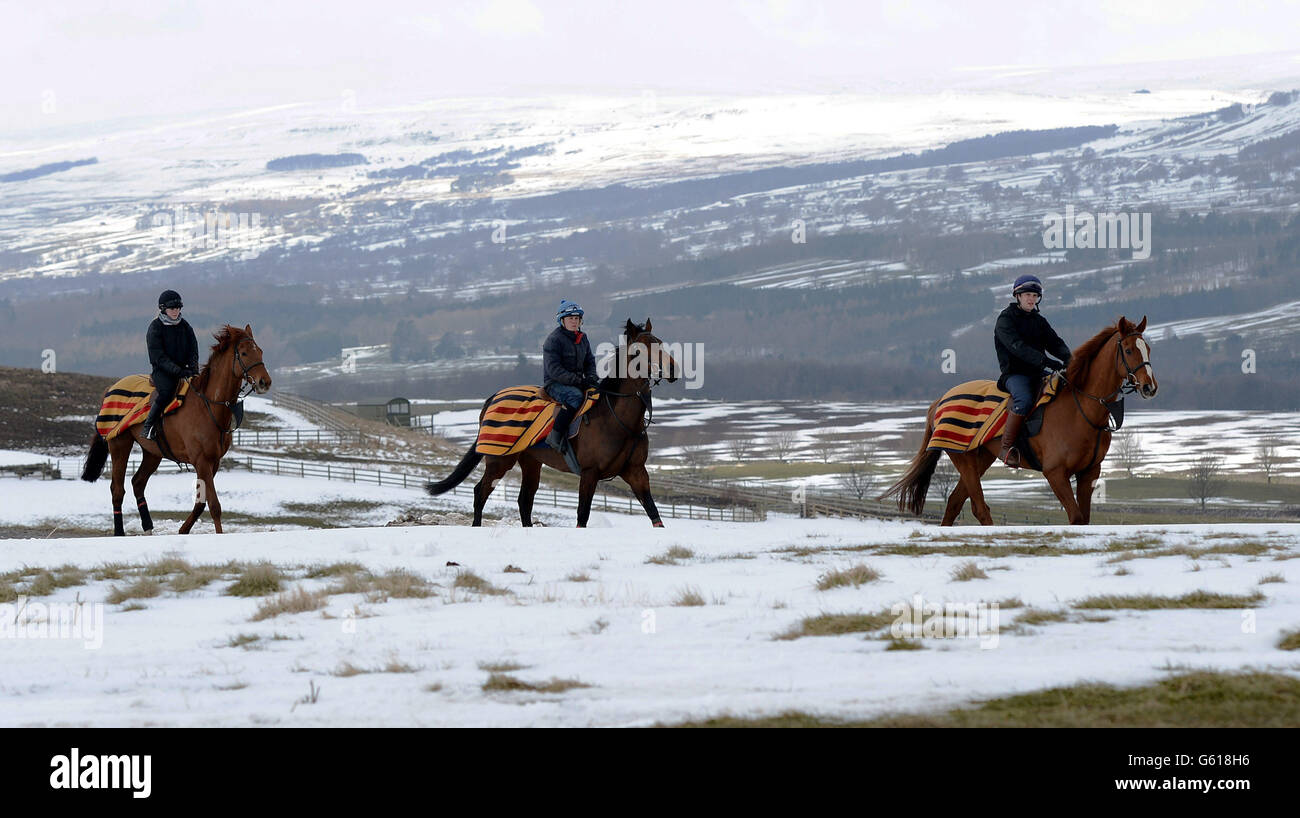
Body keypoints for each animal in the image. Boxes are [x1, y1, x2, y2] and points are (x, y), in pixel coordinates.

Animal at [80, 324, 271, 535]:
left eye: (260, 351)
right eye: (244, 353)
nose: (265, 382)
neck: (207, 406)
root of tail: (110, 390)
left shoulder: (213, 462)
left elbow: (200, 503)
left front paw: (183, 530)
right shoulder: (201, 461)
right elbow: (214, 505)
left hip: (152, 453)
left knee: (138, 483)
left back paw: (148, 528)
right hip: (119, 445)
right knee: (117, 489)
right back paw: (120, 533)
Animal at [426, 318, 679, 528]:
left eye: (660, 343)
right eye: (640, 348)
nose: (672, 369)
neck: (617, 420)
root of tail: (492, 399)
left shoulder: (636, 472)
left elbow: (654, 513)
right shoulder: (589, 474)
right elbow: (582, 515)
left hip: (530, 462)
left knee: (524, 501)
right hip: (499, 461)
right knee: (481, 492)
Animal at [880, 316, 1158, 526]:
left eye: (1148, 349)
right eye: (1129, 350)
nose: (1149, 387)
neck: (1081, 408)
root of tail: (940, 401)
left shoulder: (1089, 473)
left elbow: (1084, 518)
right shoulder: (1055, 473)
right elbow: (1076, 517)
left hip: (980, 458)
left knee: (955, 502)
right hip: (964, 459)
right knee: (979, 508)